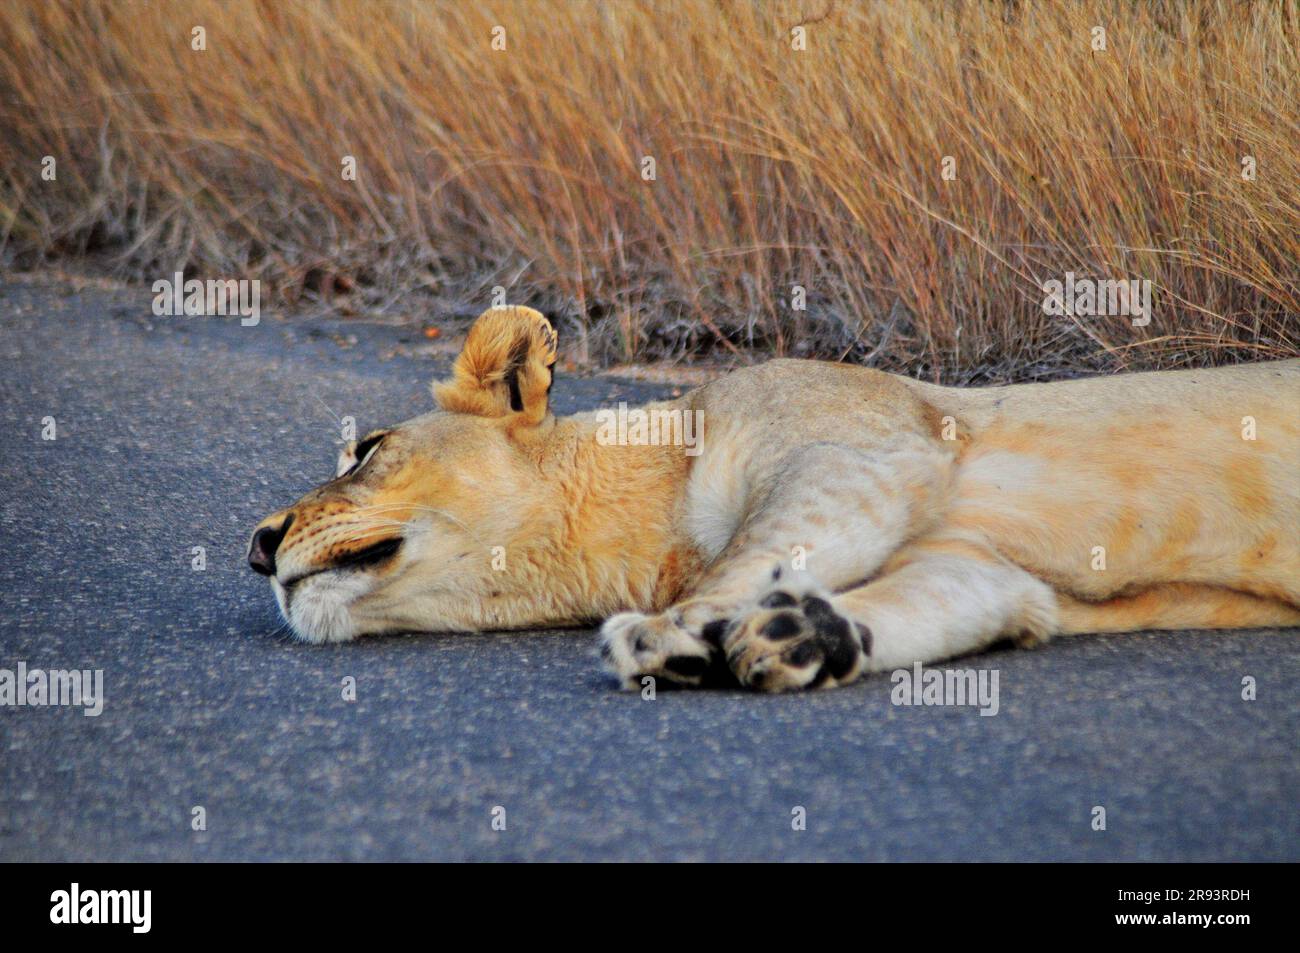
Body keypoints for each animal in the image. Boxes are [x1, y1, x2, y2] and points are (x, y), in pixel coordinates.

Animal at [248, 306, 1300, 692]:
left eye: (365, 449)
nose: (257, 544)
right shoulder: (980, 569)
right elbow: (933, 604)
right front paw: (800, 637)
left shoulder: (864, 446)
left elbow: (748, 552)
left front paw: (669, 634)